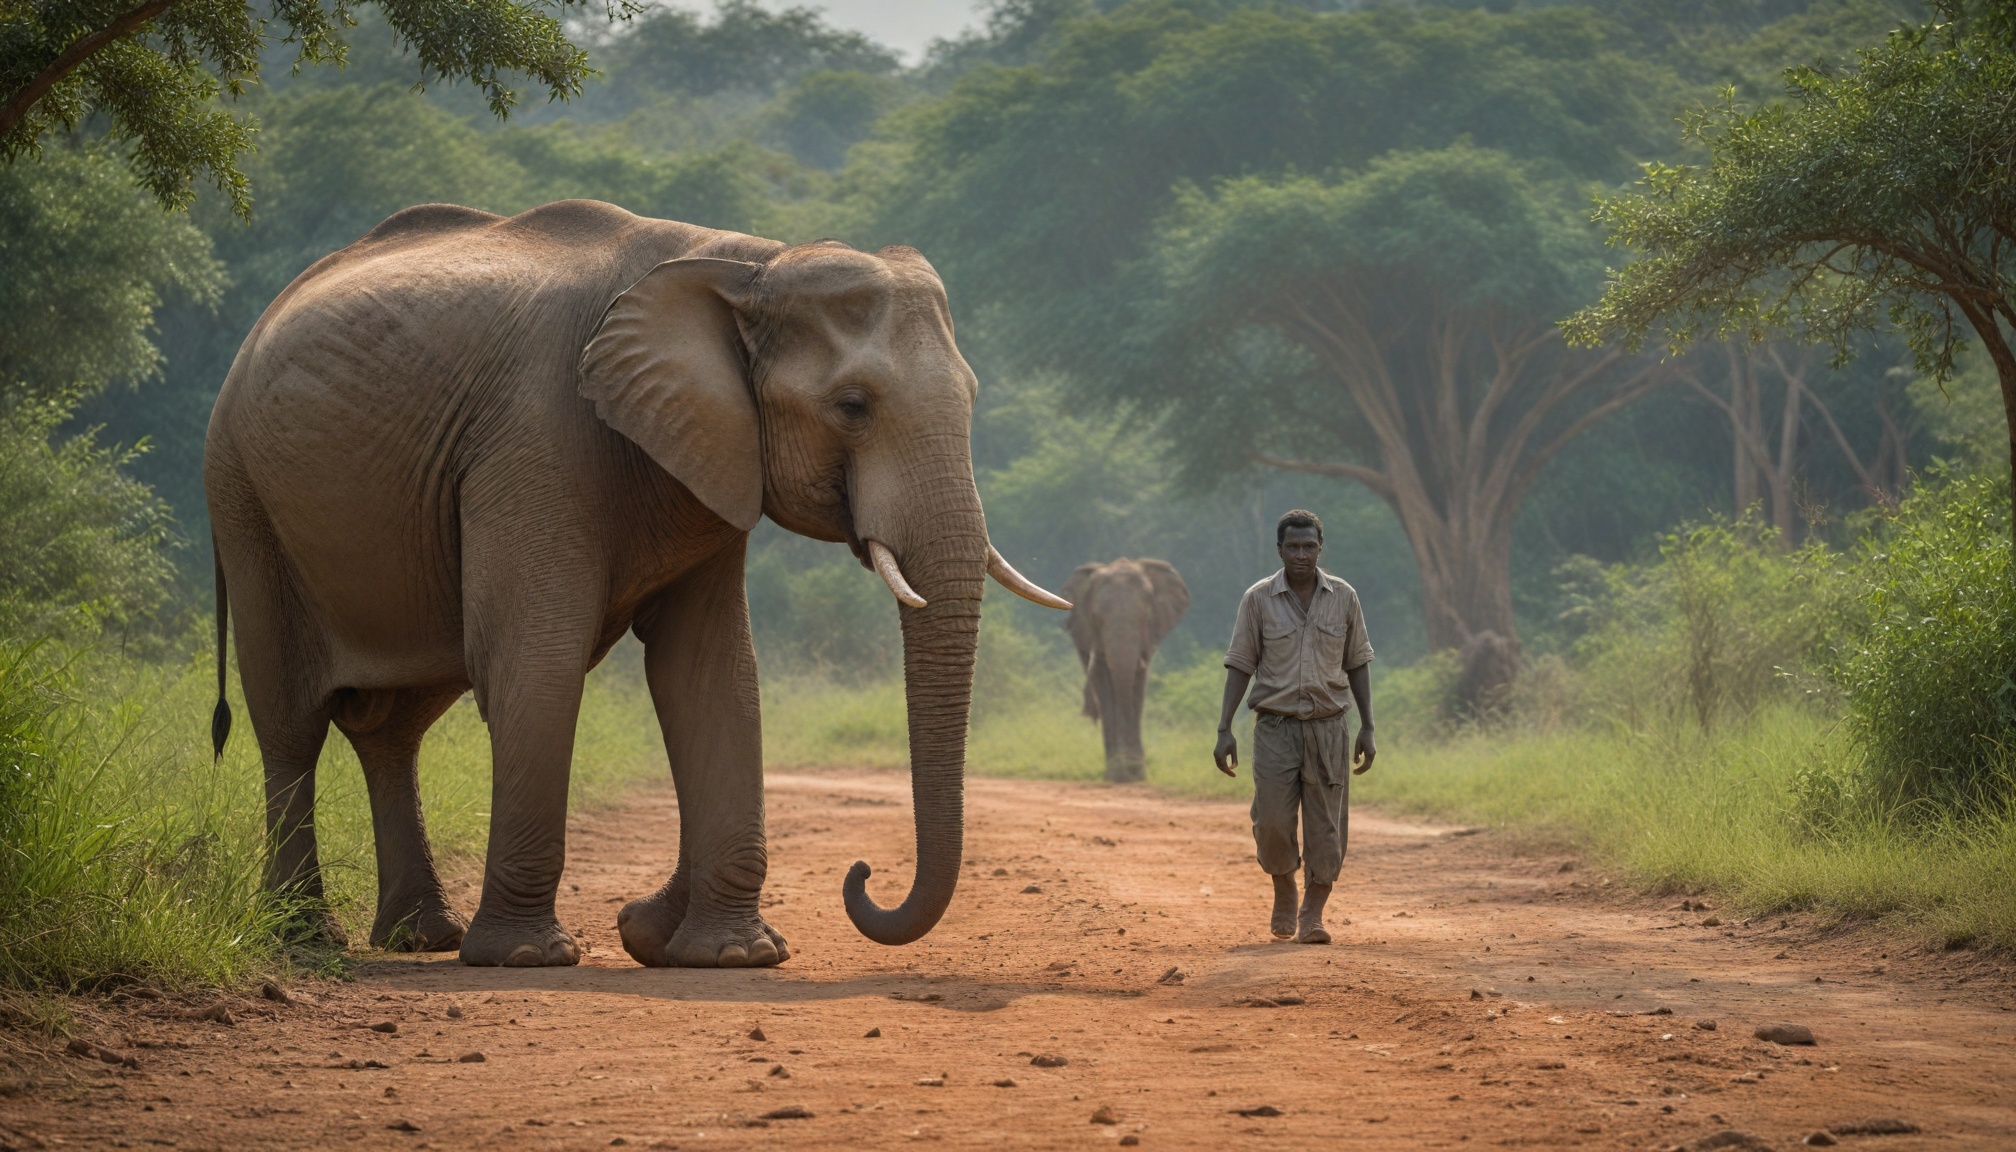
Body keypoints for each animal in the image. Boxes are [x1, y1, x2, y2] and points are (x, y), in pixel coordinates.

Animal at [204, 195, 1072, 964]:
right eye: (852, 406)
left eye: (972, 399)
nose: (861, 875)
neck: (744, 263)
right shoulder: (534, 437)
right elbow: (535, 661)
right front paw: (529, 957)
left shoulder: (709, 455)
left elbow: (710, 675)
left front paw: (712, 951)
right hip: (243, 498)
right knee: (289, 721)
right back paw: (305, 938)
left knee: (395, 724)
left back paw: (421, 938)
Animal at [1064, 560, 1185, 782]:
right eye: (1097, 618)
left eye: (1145, 616)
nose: (1131, 766)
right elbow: (1103, 679)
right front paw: (1117, 772)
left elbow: (1138, 682)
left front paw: (1136, 773)